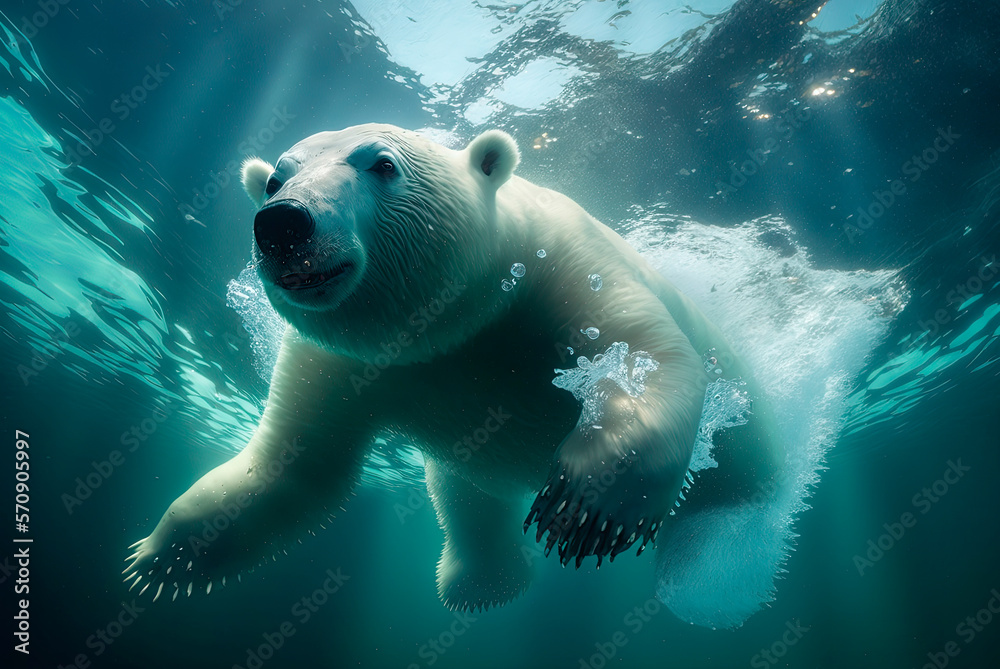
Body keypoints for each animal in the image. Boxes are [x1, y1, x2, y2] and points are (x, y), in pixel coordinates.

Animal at [124, 124, 783, 617]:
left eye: (382, 164)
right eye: (274, 179)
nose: (283, 221)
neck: (458, 322)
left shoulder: (562, 270)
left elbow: (648, 356)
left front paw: (586, 507)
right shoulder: (348, 363)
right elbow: (297, 468)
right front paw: (161, 555)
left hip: (750, 448)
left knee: (735, 507)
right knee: (466, 494)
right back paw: (483, 583)